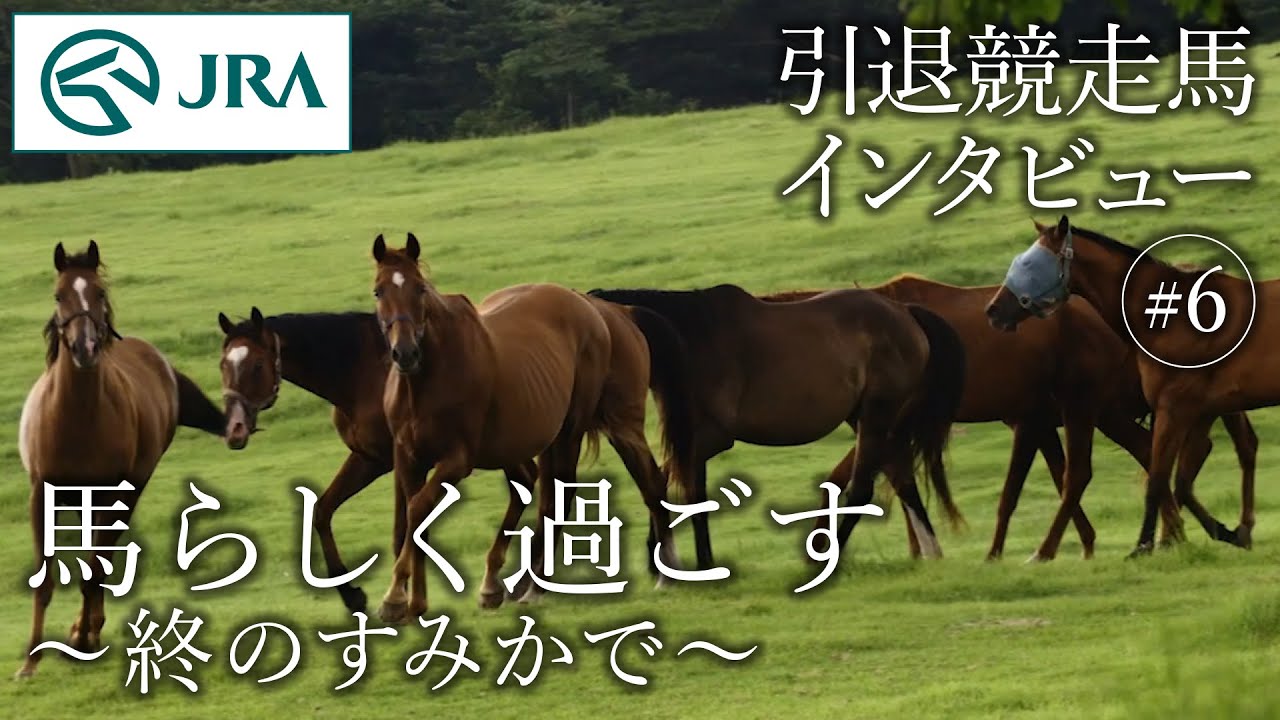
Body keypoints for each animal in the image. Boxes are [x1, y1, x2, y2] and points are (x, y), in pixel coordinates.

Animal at [17, 241, 224, 679]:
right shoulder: (41, 496)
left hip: (126, 493)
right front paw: (29, 661)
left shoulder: (110, 494)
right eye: (58, 295)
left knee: (103, 559)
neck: (75, 418)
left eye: (99, 293)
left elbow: (93, 570)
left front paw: (82, 639)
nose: (85, 349)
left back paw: (88, 631)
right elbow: (45, 580)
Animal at [371, 233, 687, 621]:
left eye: (419, 289)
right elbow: (414, 520)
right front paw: (415, 602)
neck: (428, 379)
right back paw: (510, 585)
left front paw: (394, 598)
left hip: (597, 427)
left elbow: (417, 511)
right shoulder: (408, 457)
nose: (405, 353)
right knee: (536, 487)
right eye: (379, 291)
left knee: (589, 493)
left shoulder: (456, 460)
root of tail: (610, 313)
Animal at [588, 284, 968, 570]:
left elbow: (674, 486)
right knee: (902, 479)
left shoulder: (710, 437)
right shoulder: (692, 439)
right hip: (868, 419)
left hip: (877, 414)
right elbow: (688, 494)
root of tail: (906, 313)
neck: (693, 340)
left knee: (863, 489)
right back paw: (931, 552)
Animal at [986, 215, 1272, 557]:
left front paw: (1142, 545)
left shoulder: (1167, 407)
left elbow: (1149, 477)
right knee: (1238, 448)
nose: (993, 310)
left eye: (1029, 263)